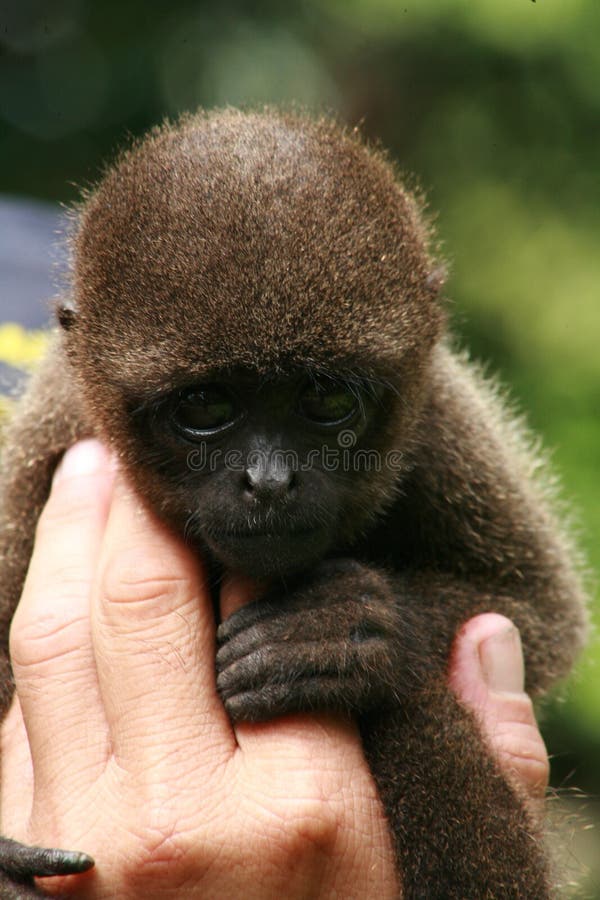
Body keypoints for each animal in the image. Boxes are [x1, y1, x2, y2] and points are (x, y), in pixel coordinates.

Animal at [0, 108, 587, 899]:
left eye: (327, 397)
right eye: (205, 406)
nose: (271, 481)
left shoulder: (441, 421)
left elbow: (541, 606)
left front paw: (349, 627)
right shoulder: (52, 433)